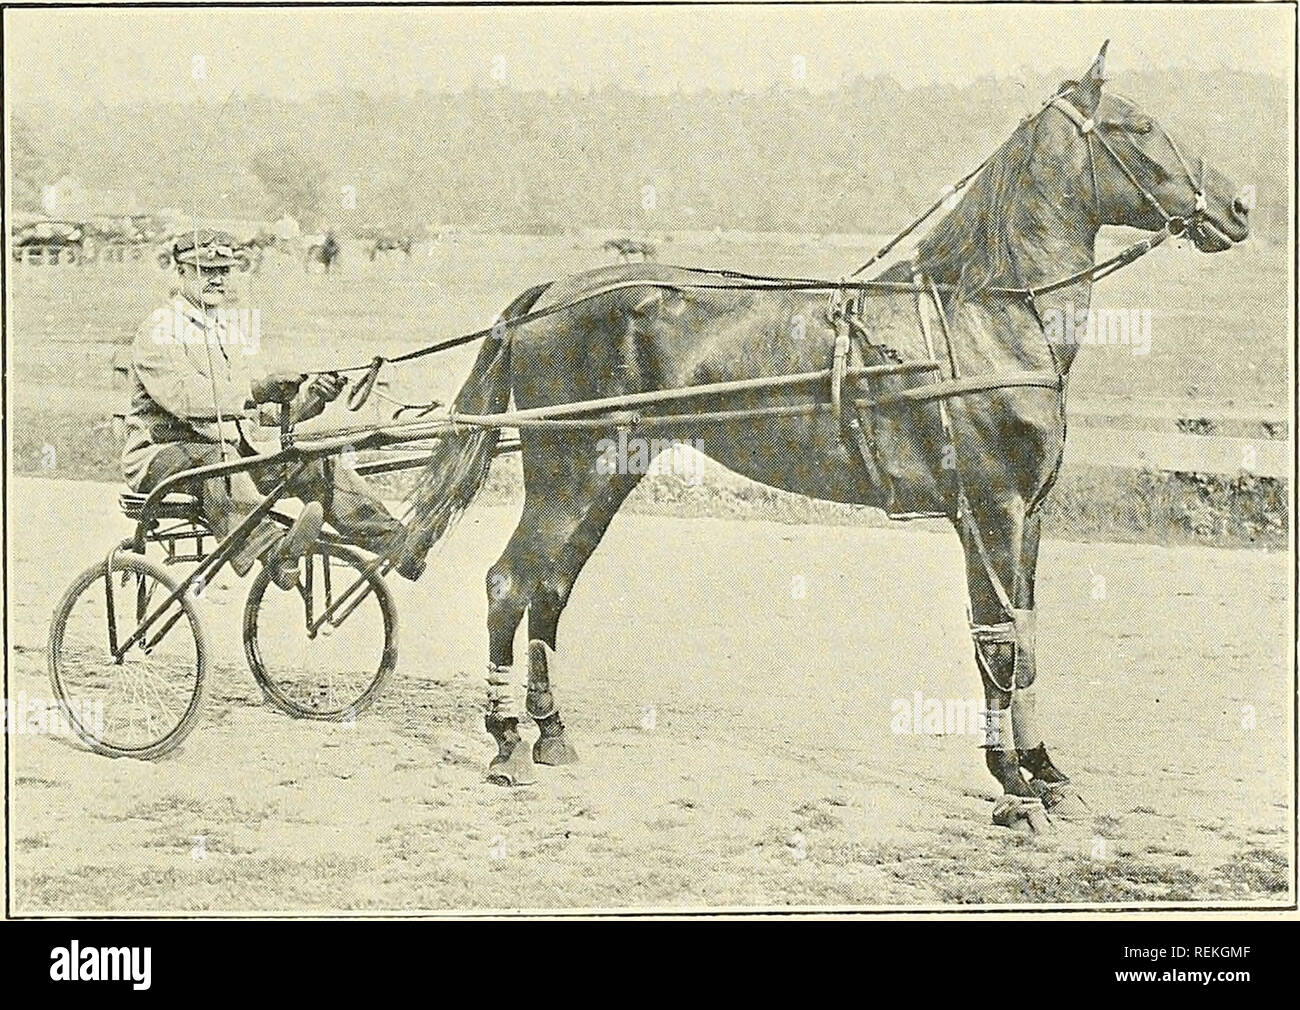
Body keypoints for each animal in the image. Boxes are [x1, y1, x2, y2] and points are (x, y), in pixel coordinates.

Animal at [402, 44, 1250, 827]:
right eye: (1138, 127)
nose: (1238, 205)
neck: (987, 313)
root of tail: (555, 292)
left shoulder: (1029, 515)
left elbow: (1027, 637)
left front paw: (1046, 771)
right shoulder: (991, 510)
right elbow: (999, 641)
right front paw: (1013, 787)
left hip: (606, 475)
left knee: (549, 588)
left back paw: (550, 731)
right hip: (567, 473)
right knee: (509, 583)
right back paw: (506, 741)